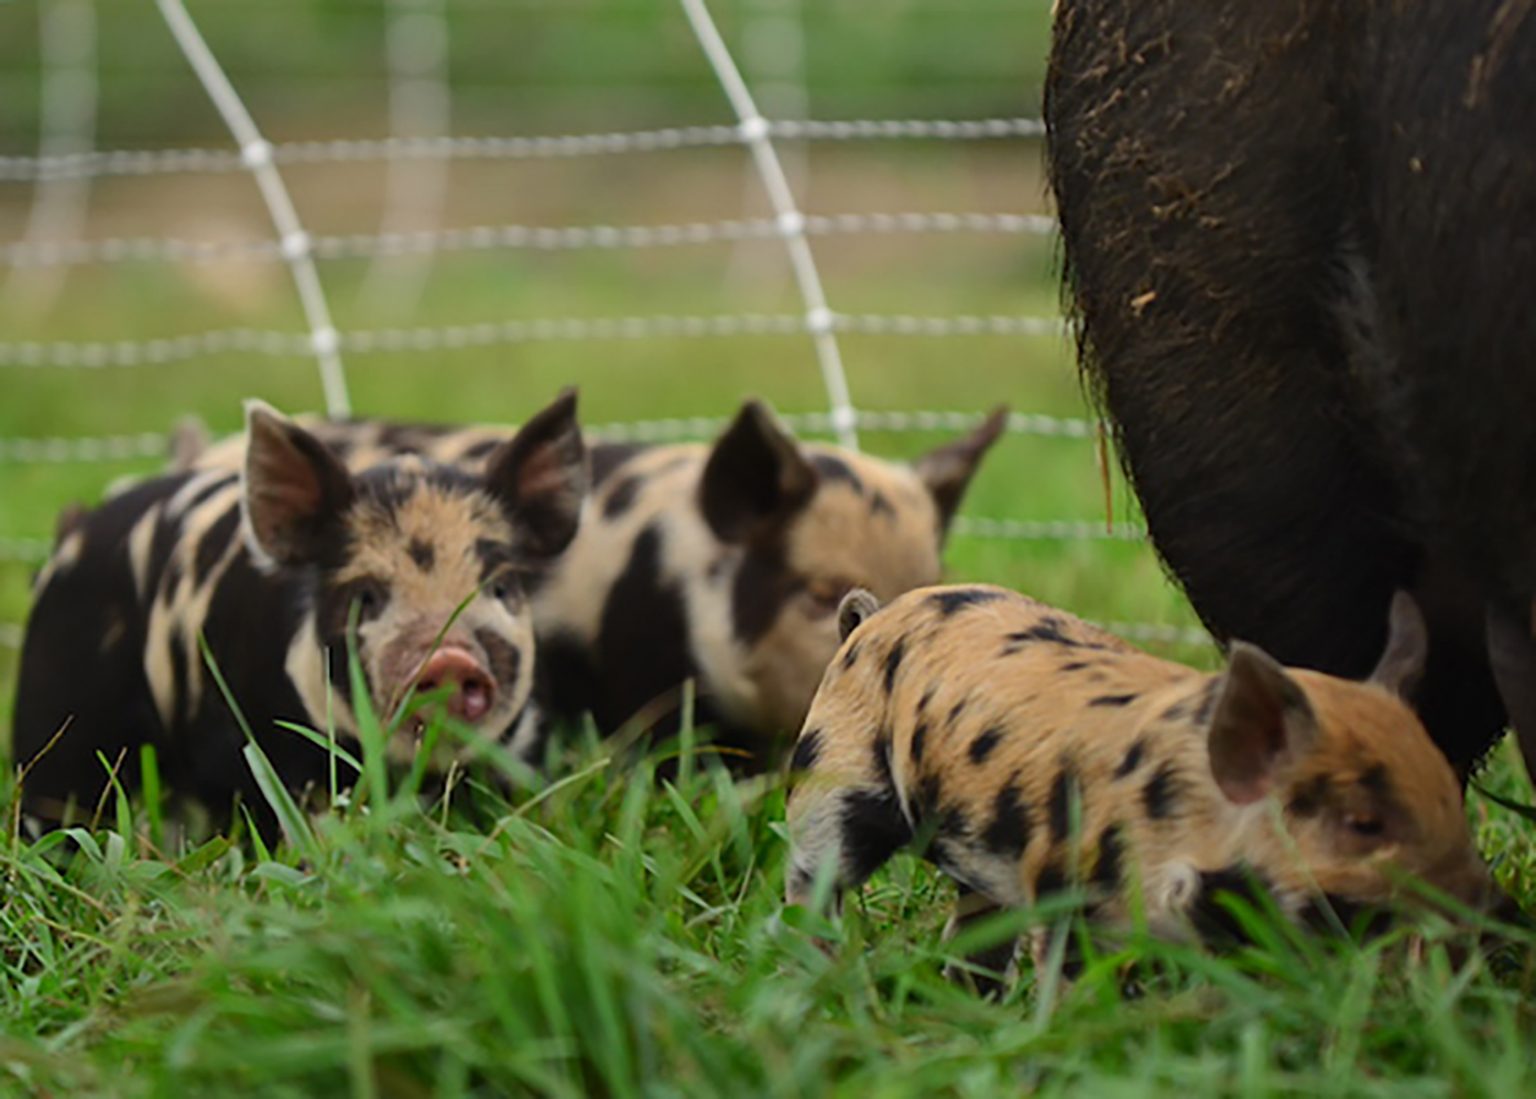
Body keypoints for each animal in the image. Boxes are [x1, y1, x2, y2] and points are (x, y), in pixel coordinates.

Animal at [785, 584, 1495, 985]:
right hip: (829, 776)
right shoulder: (1059, 872)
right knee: (812, 881)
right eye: (1362, 824)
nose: (1497, 911)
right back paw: (823, 974)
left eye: (1450, 802)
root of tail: (871, 617)